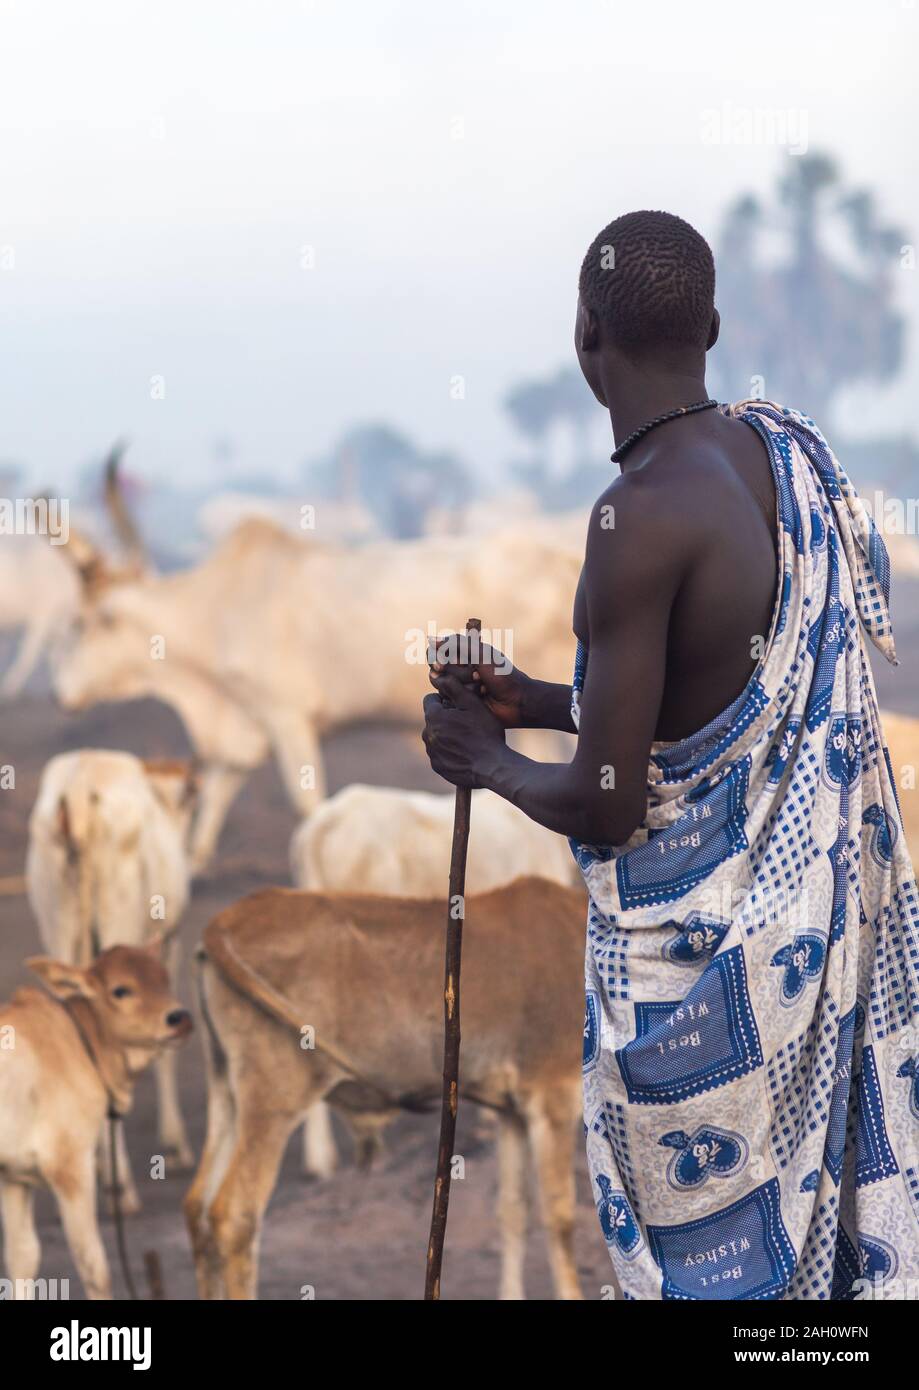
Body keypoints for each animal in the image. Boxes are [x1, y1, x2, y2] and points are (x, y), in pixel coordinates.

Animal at [0, 943, 192, 1299]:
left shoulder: (14, 1176)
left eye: (164, 978)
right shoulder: (72, 1168)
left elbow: (22, 1257)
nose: (179, 1018)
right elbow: (94, 1266)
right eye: (120, 990)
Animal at [26, 750, 198, 1208]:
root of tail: (78, 791)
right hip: (121, 920)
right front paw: (176, 1144)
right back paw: (121, 1183)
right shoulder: (166, 945)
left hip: (60, 925)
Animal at [184, 877, 587, 1301]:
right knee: (235, 1215)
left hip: (227, 1092)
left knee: (198, 1206)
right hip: (274, 1101)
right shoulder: (554, 1100)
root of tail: (226, 921)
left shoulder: (511, 1112)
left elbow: (512, 1211)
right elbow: (560, 1217)